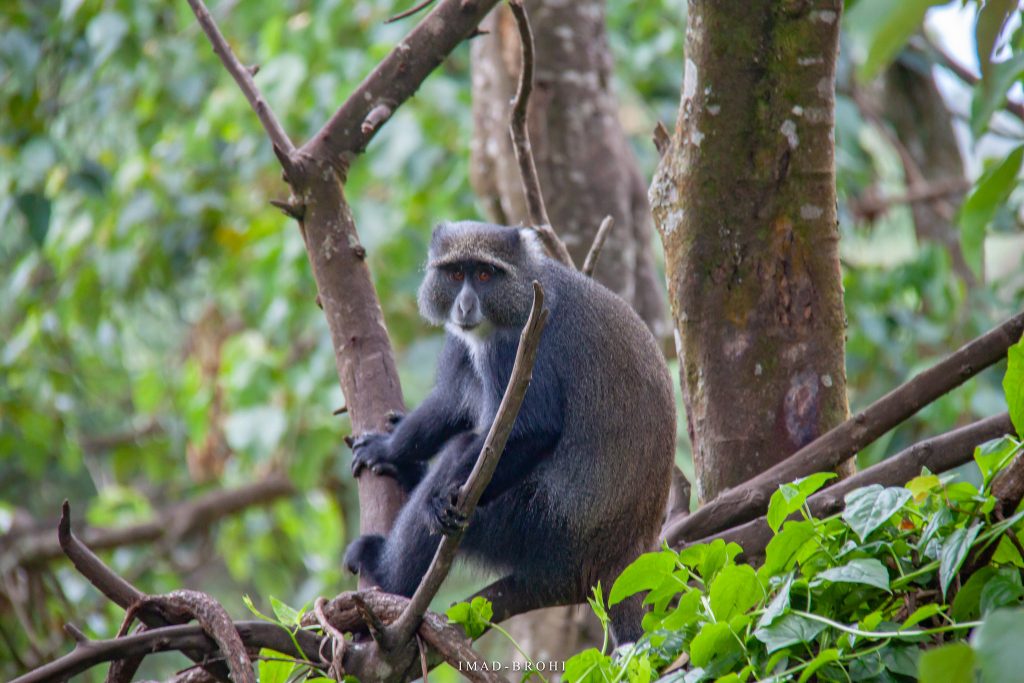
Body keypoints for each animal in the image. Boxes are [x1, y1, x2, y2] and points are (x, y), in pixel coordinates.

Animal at [343, 221, 675, 644]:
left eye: (485, 275)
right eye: (456, 274)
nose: (465, 307)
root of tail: (622, 552)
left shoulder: (519, 343)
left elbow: (534, 431)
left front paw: (437, 499)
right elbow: (452, 400)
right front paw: (388, 449)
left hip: (535, 526)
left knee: (463, 455)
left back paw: (388, 575)